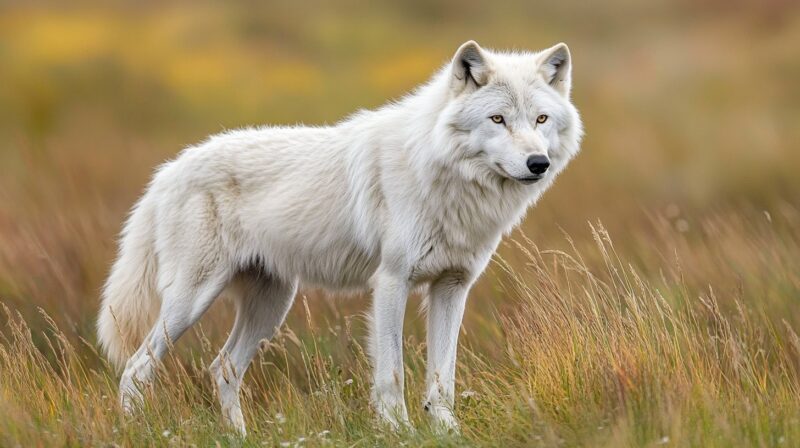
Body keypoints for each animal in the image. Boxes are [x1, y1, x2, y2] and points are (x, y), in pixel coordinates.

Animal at [97, 40, 582, 435]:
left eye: (540, 118)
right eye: (498, 119)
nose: (537, 163)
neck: (443, 175)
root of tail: (168, 170)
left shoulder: (452, 286)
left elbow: (442, 378)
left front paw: (448, 433)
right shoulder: (391, 282)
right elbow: (392, 374)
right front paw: (398, 432)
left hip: (271, 307)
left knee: (222, 369)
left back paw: (239, 437)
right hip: (191, 302)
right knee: (136, 369)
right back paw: (140, 431)